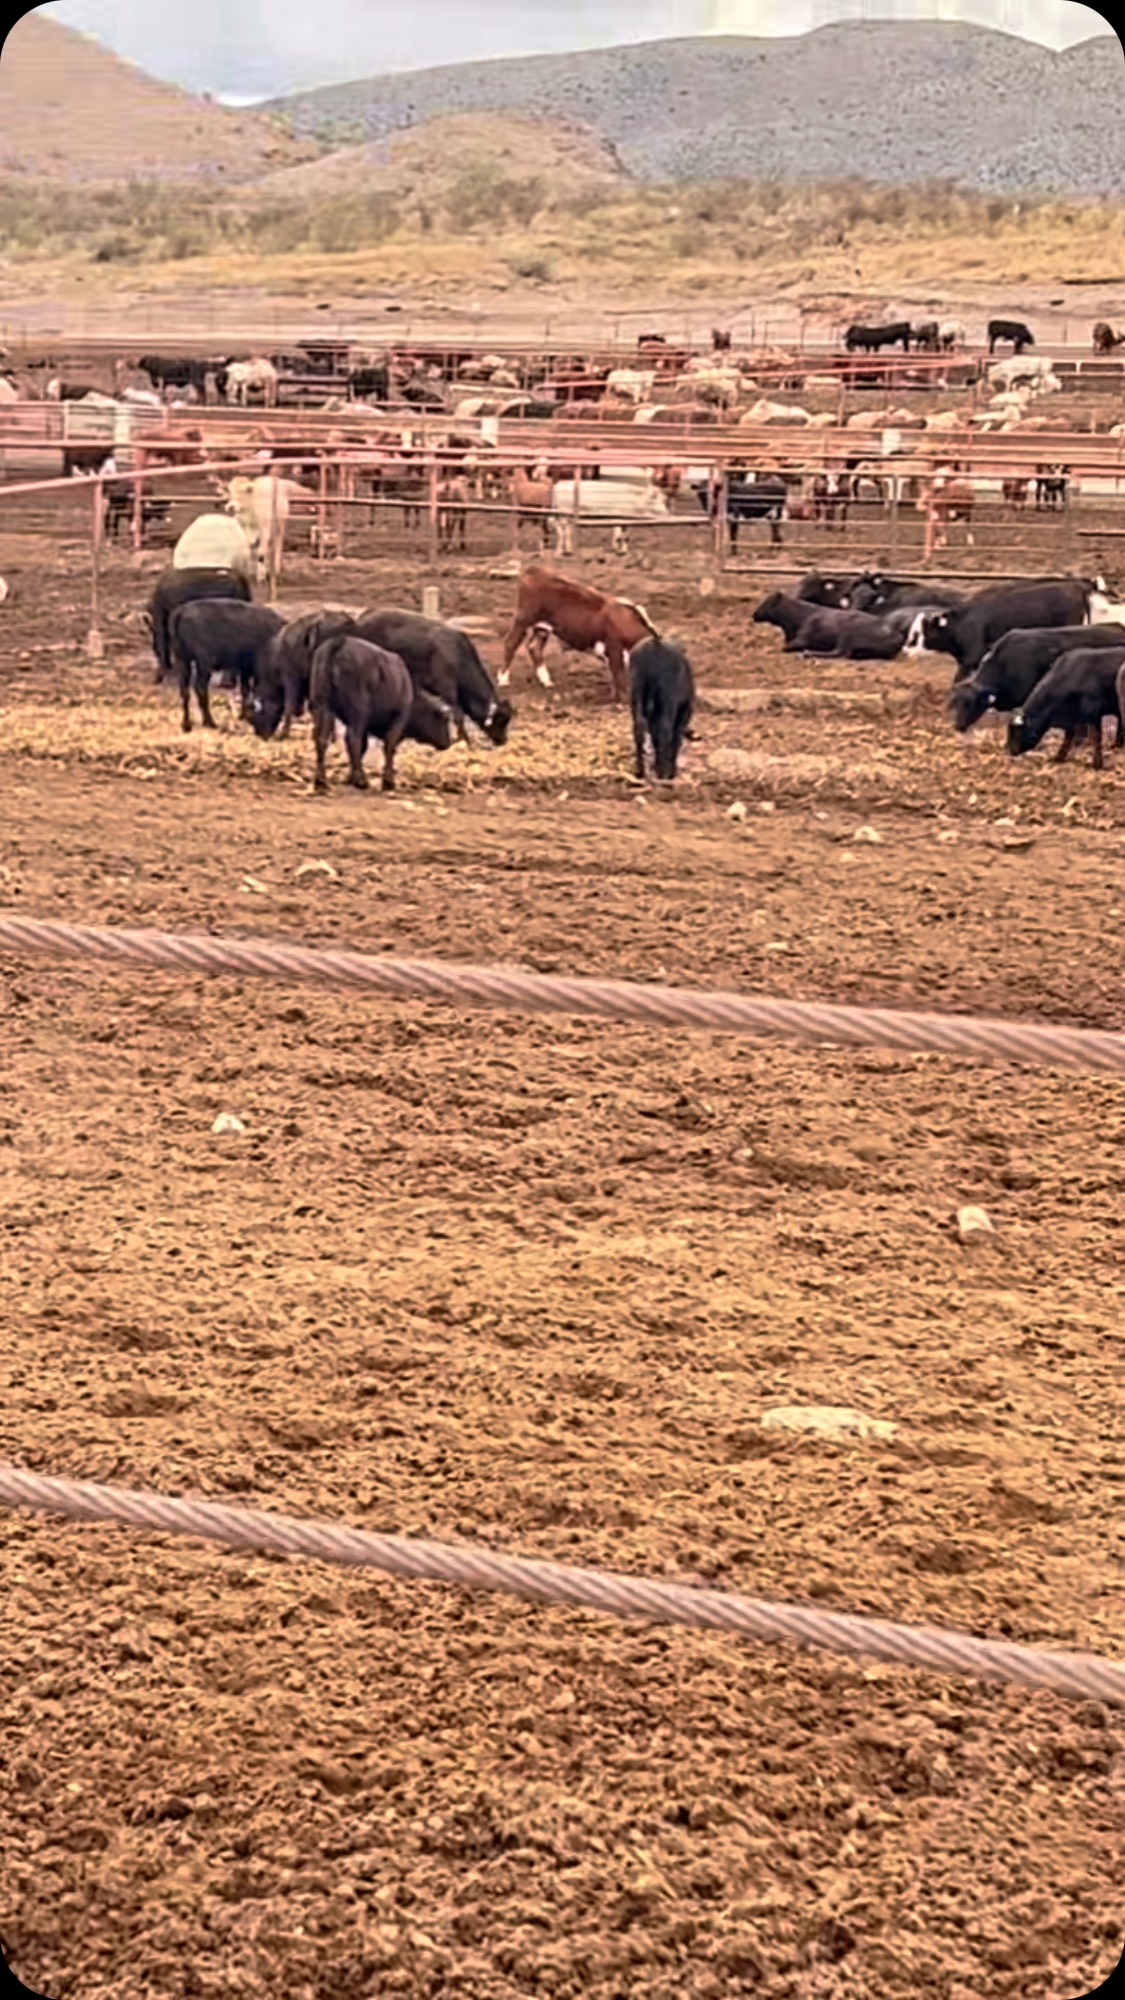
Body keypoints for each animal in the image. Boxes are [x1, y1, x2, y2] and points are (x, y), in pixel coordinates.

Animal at [168, 598, 284, 733]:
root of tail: (181, 611)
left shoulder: (245, 668)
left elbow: (245, 690)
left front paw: (243, 714)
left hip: (183, 660)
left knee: (184, 690)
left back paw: (186, 725)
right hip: (204, 664)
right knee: (200, 688)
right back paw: (210, 723)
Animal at [309, 634, 453, 795]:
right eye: (445, 718)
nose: (448, 742)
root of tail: (341, 641)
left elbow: (363, 748)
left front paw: (349, 777)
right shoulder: (398, 719)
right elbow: (389, 747)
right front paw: (388, 782)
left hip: (323, 707)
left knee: (321, 740)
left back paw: (321, 781)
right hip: (358, 713)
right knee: (353, 739)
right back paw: (361, 781)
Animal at [354, 608, 512, 744]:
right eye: (501, 720)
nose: (504, 740)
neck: (457, 657)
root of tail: (365, 615)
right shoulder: (447, 690)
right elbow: (458, 716)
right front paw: (466, 741)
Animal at [500, 566, 657, 703]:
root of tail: (533, 570)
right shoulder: (614, 649)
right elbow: (618, 676)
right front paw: (619, 699)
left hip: (542, 627)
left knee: (534, 647)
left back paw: (546, 681)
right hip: (523, 619)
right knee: (511, 643)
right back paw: (503, 679)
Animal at [630, 637, 695, 782]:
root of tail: (655, 643)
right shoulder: (684, 711)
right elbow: (676, 738)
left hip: (636, 692)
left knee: (639, 728)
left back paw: (640, 771)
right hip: (668, 700)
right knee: (664, 730)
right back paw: (664, 772)